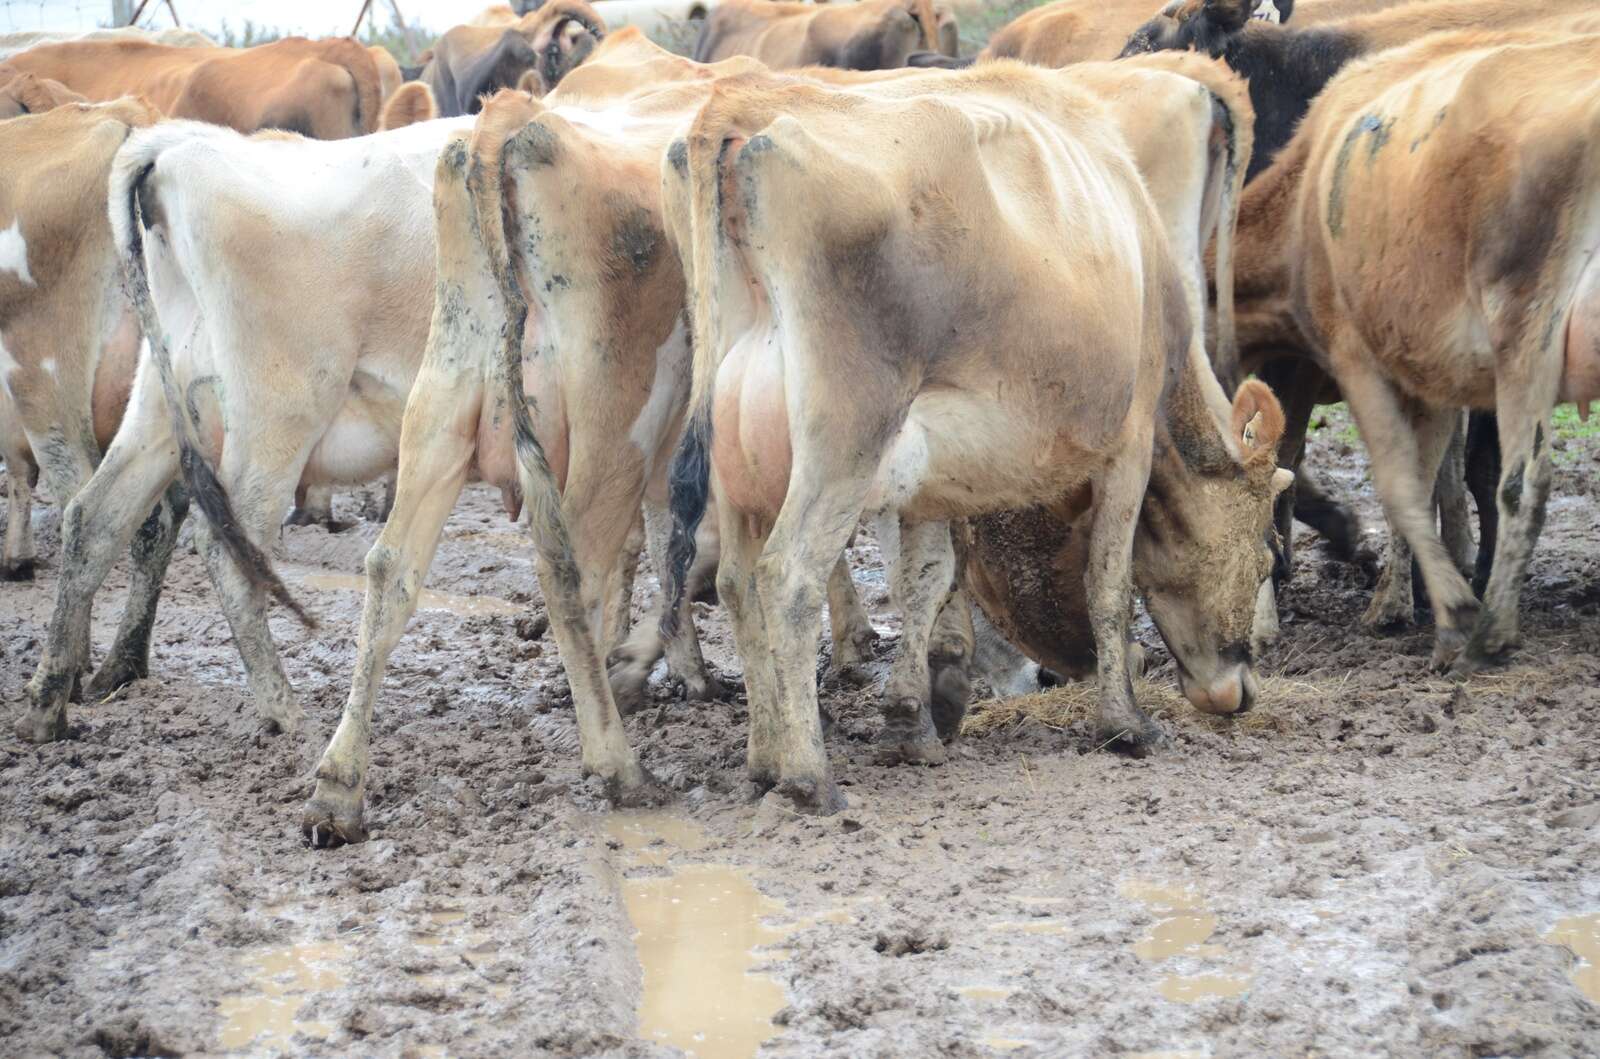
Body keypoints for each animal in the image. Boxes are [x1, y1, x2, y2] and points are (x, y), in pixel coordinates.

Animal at [299, 29, 881, 845]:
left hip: (442, 414)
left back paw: (337, 790)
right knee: (572, 568)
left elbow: (677, 547)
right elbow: (709, 550)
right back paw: (618, 762)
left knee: (391, 570)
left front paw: (676, 667)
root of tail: (507, 123)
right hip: (616, 425)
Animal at [655, 62, 1290, 812]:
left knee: (735, 583)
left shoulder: (927, 482)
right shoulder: (1127, 446)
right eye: (1267, 557)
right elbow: (1109, 583)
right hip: (843, 441)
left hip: (741, 470)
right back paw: (810, 777)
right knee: (786, 576)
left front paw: (913, 723)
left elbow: (923, 582)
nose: (1239, 691)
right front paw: (1126, 723)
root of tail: (741, 106)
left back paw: (763, 761)